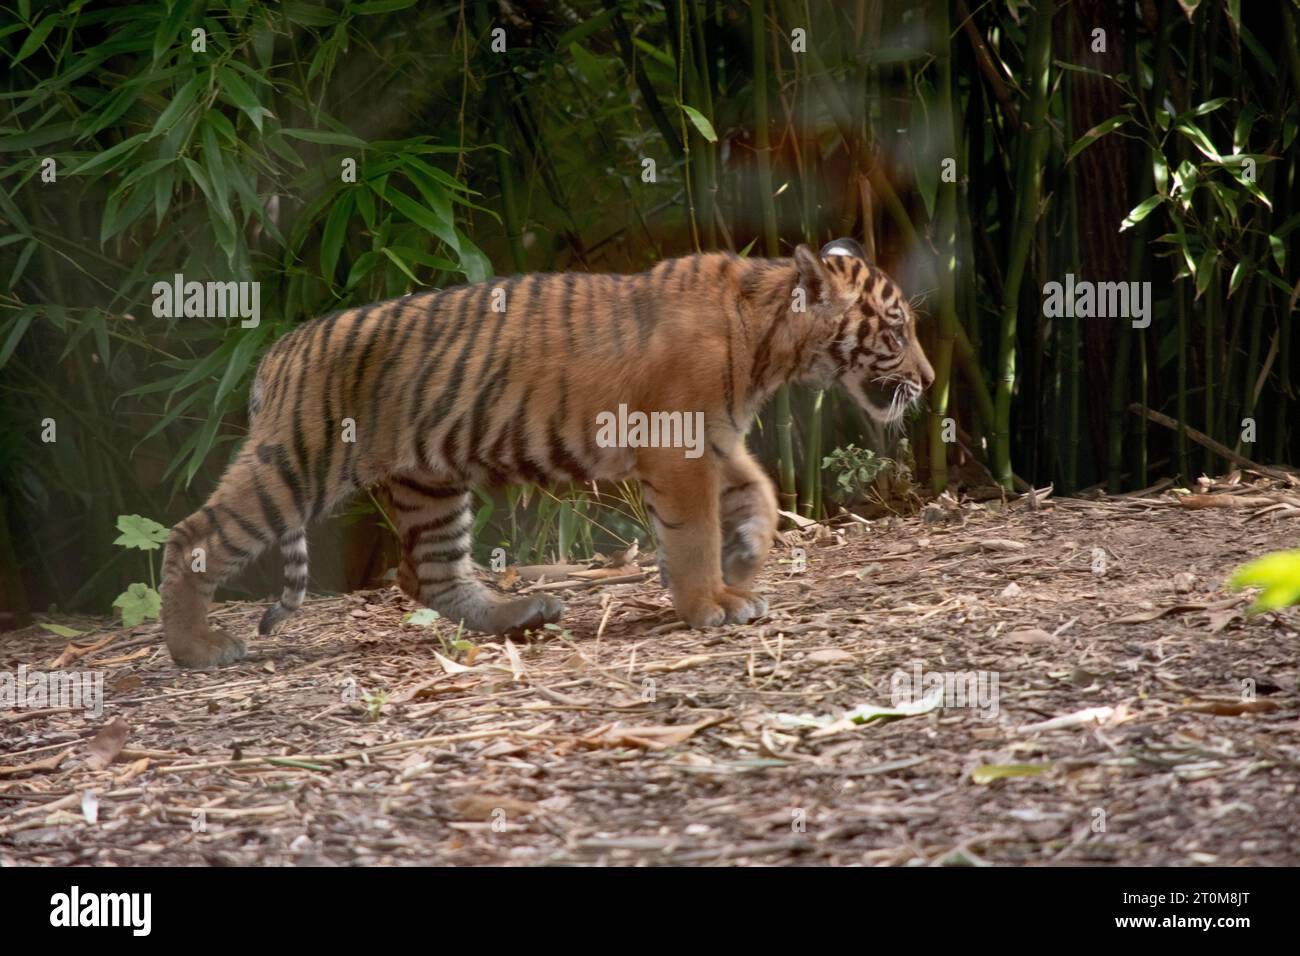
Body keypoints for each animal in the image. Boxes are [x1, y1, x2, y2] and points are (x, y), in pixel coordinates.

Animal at [160, 238, 933, 667]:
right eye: (895, 331)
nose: (929, 381)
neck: (770, 334)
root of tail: (279, 349)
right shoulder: (678, 448)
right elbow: (692, 532)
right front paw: (710, 602)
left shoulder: (715, 437)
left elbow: (761, 494)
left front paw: (744, 560)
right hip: (296, 465)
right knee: (193, 535)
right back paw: (194, 649)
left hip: (430, 482)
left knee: (429, 576)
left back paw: (521, 616)